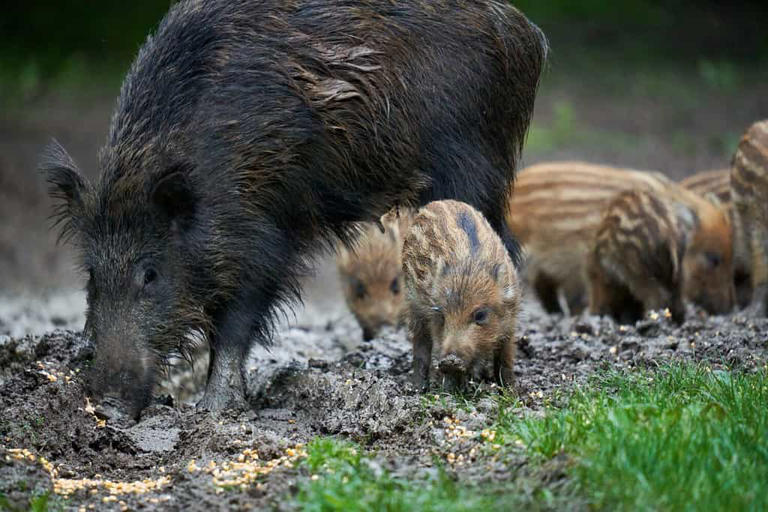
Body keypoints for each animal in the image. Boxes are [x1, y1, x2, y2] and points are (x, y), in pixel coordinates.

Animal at [402, 200, 521, 392]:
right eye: (442, 316)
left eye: (480, 315)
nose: (451, 361)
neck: (468, 269)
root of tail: (435, 203)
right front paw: (452, 389)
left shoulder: (510, 321)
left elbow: (505, 358)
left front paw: (511, 391)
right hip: (413, 305)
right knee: (420, 345)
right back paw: (417, 387)